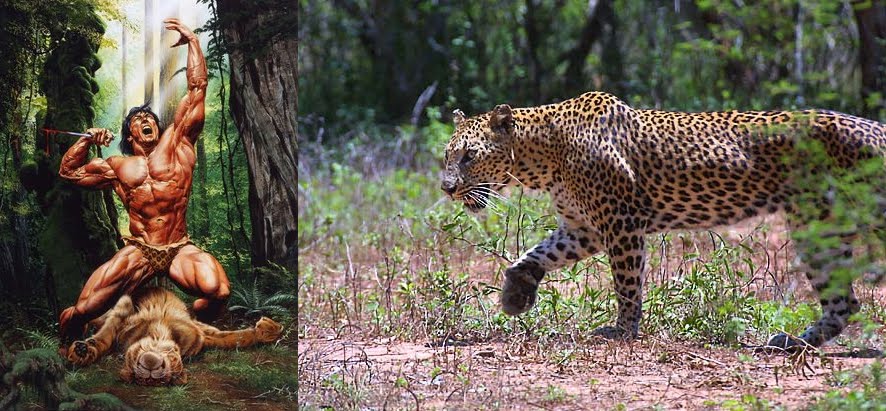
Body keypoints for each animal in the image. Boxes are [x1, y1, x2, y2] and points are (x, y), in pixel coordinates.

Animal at [65, 286, 283, 385]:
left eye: (162, 381)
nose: (153, 371)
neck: (159, 328)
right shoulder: (124, 307)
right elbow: (107, 332)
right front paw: (83, 351)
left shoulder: (198, 333)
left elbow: (228, 338)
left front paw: (266, 331)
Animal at [441, 91, 885, 349]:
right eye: (448, 155)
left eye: (469, 156)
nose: (446, 188)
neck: (543, 155)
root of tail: (875, 128)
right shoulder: (584, 229)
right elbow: (535, 255)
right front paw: (516, 295)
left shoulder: (620, 223)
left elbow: (627, 284)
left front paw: (623, 331)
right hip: (818, 226)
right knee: (843, 303)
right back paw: (790, 342)